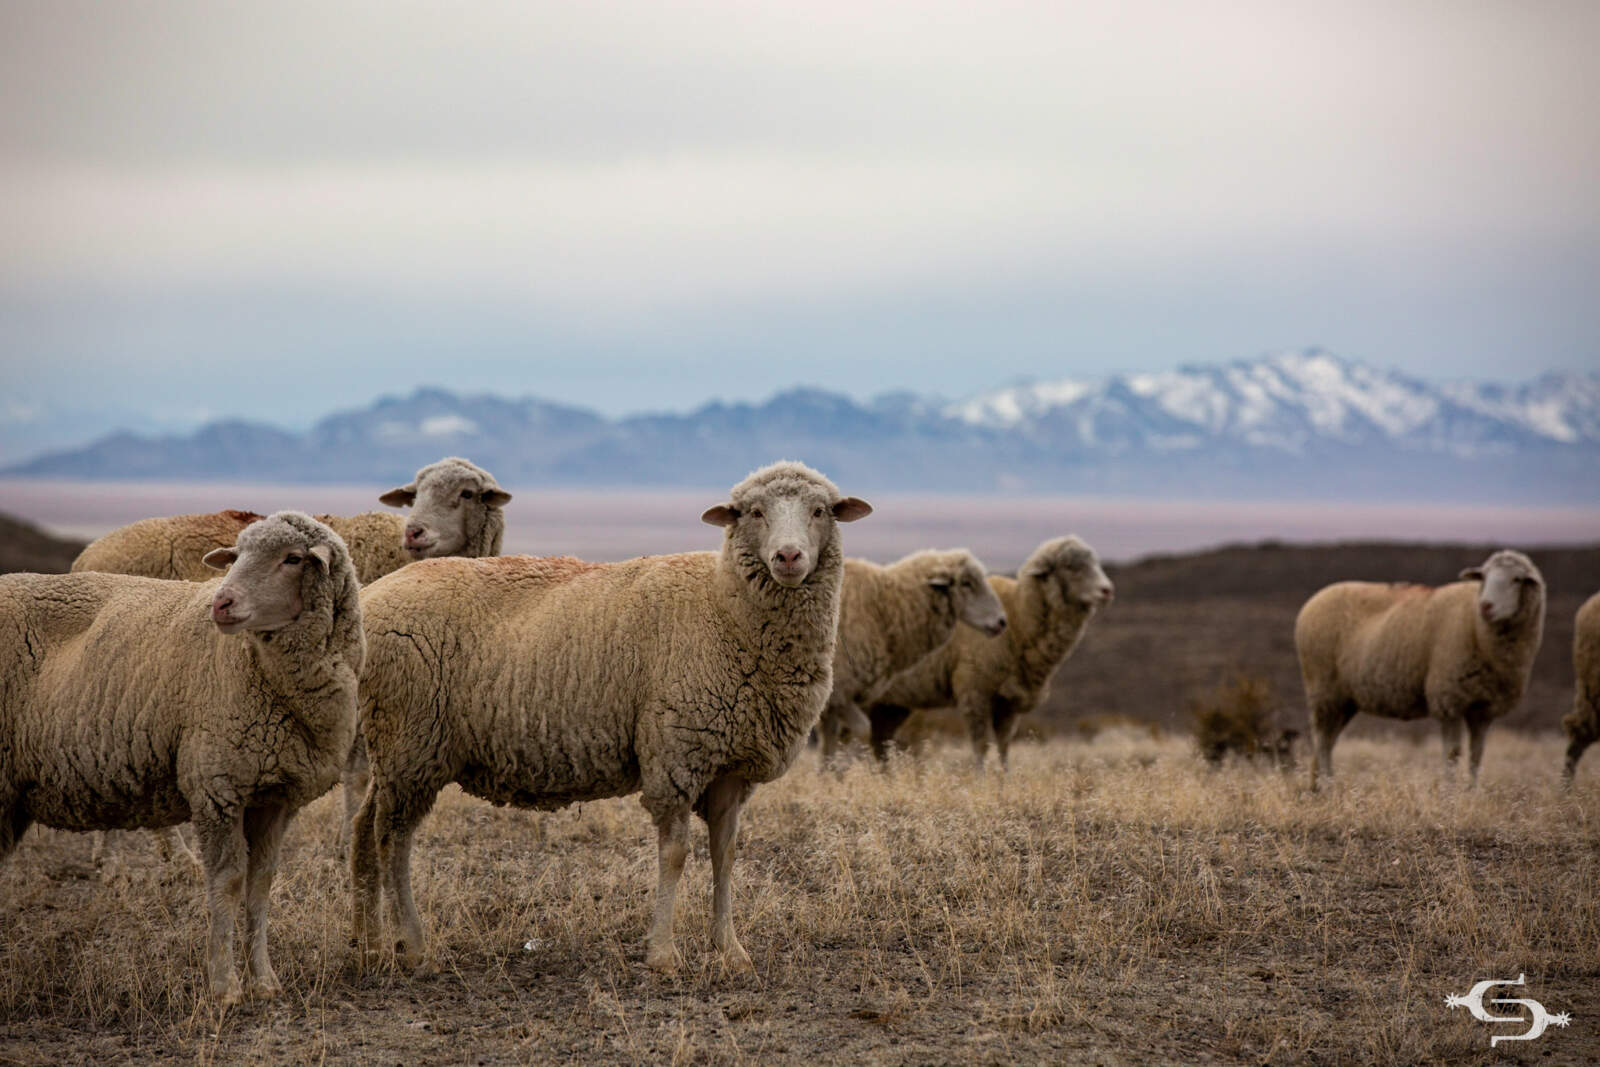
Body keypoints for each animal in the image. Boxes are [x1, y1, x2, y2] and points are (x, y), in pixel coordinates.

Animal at [0, 512, 364, 1003]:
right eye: (237, 555)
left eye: (292, 558)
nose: (221, 604)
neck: (259, 668)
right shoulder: (217, 786)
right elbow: (227, 883)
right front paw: (225, 986)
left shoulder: (276, 797)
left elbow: (261, 884)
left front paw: (264, 980)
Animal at [348, 461, 870, 974]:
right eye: (755, 512)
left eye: (820, 511)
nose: (788, 557)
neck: (724, 607)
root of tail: (368, 597)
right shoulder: (675, 752)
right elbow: (675, 853)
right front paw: (663, 953)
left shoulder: (729, 765)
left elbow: (725, 853)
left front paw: (731, 950)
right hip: (411, 741)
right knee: (392, 838)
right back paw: (414, 946)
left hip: (395, 747)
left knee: (363, 828)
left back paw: (370, 944)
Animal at [817, 550, 1008, 768]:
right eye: (966, 583)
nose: (1002, 621)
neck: (884, 608)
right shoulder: (839, 691)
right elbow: (861, 729)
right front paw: (839, 770)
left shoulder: (836, 699)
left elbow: (830, 741)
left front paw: (827, 773)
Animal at [865, 536, 1115, 771]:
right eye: (1071, 567)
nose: (1107, 591)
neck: (1019, 617)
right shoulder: (974, 692)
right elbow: (981, 746)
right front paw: (981, 779)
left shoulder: (1009, 704)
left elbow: (1004, 746)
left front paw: (1005, 780)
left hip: (891, 705)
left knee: (880, 744)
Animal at [1294, 549, 1545, 789]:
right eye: (1483, 576)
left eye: (1517, 579)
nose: (1486, 606)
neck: (1477, 628)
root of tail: (1314, 601)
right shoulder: (1448, 699)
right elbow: (1452, 753)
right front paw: (1449, 793)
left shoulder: (1484, 709)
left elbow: (1477, 755)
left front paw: (1473, 792)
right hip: (1323, 689)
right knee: (1322, 740)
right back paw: (1327, 785)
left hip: (1344, 699)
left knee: (1329, 740)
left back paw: (1321, 784)